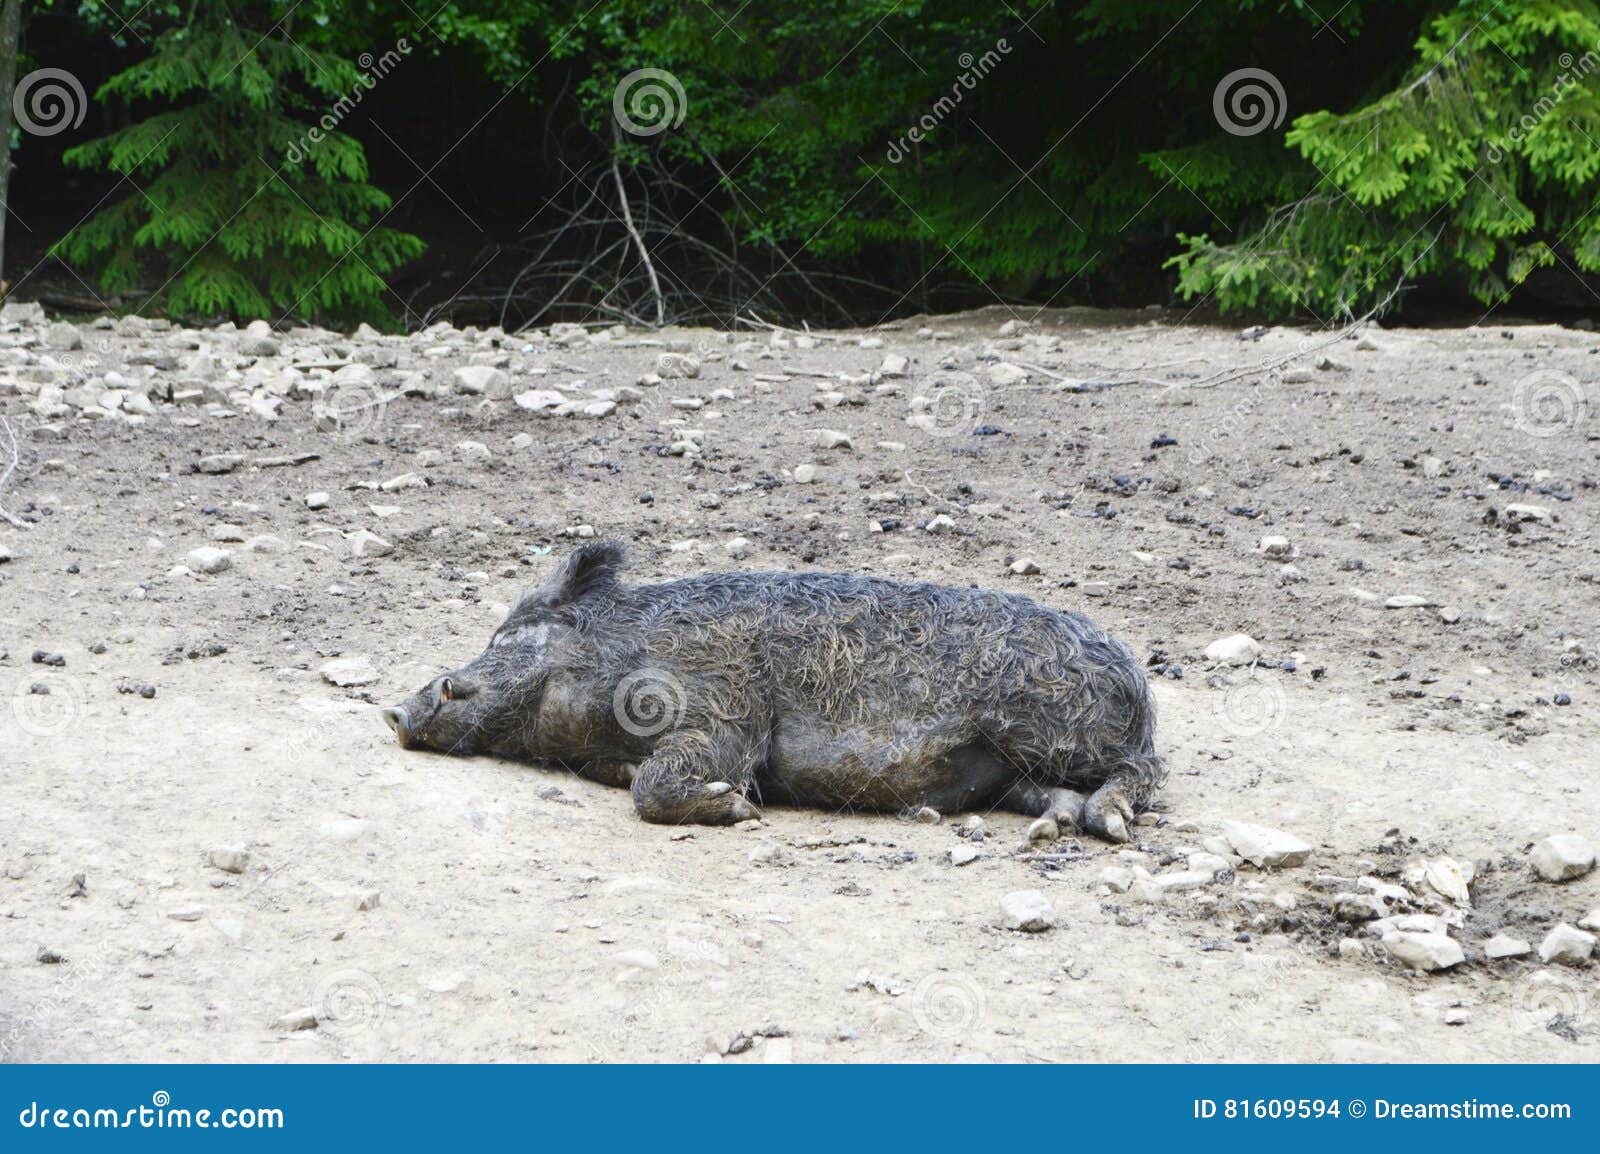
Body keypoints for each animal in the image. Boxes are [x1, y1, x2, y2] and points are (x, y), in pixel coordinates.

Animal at [382, 542, 1164, 841]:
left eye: (504, 640)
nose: (394, 708)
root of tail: (1134, 680)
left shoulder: (724, 708)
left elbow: (663, 782)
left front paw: (741, 809)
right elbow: (634, 778)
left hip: (1053, 726)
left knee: (1146, 769)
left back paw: (1111, 824)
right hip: (1019, 763)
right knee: (1050, 796)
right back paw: (1054, 826)